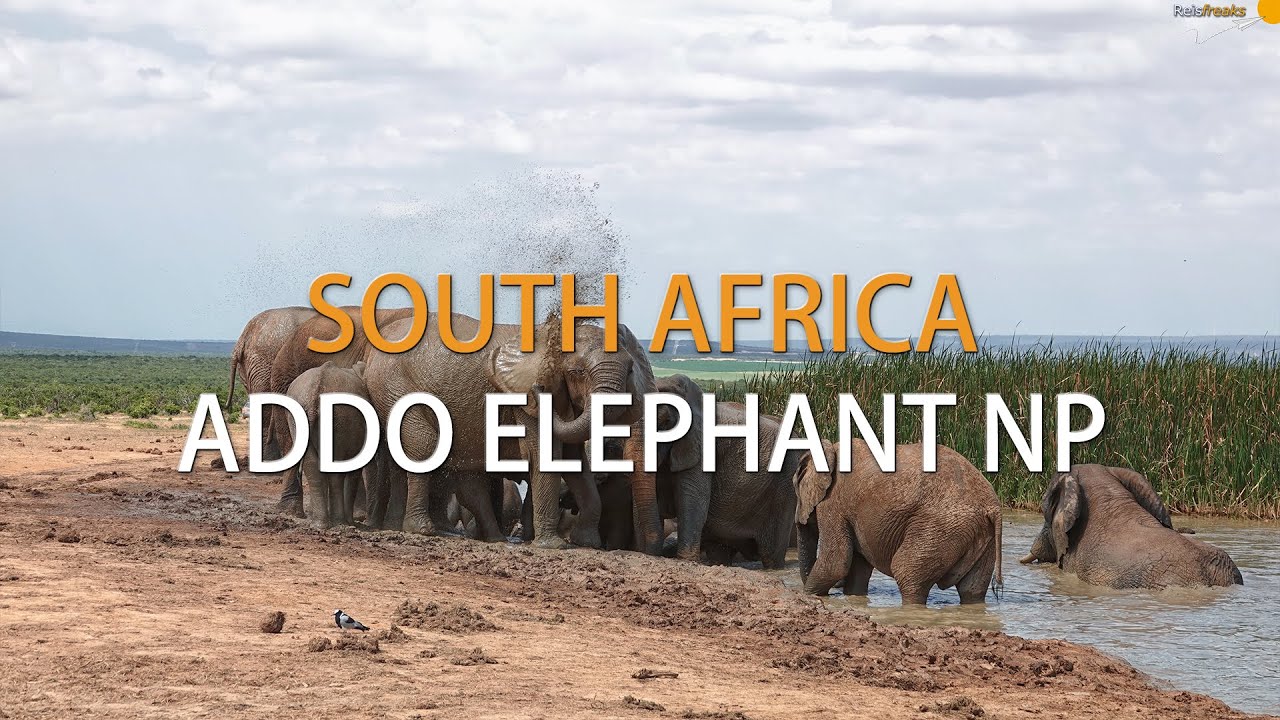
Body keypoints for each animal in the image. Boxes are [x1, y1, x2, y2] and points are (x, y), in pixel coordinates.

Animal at [282, 361, 376, 529]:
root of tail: (315, 392)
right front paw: (352, 523)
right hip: (340, 417)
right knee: (334, 470)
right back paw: (340, 523)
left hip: (298, 420)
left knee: (311, 465)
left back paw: (320, 524)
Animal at [363, 312, 658, 551]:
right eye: (577, 372)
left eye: (631, 370)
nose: (538, 389)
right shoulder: (525, 404)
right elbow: (547, 458)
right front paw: (553, 547)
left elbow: (574, 463)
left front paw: (587, 544)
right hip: (394, 386)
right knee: (424, 446)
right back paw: (423, 530)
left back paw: (490, 538)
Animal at [794, 440, 1003, 605]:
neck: (829, 449)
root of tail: (993, 506)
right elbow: (858, 567)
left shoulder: (833, 504)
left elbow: (835, 563)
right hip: (981, 534)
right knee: (972, 588)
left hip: (941, 527)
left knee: (907, 573)